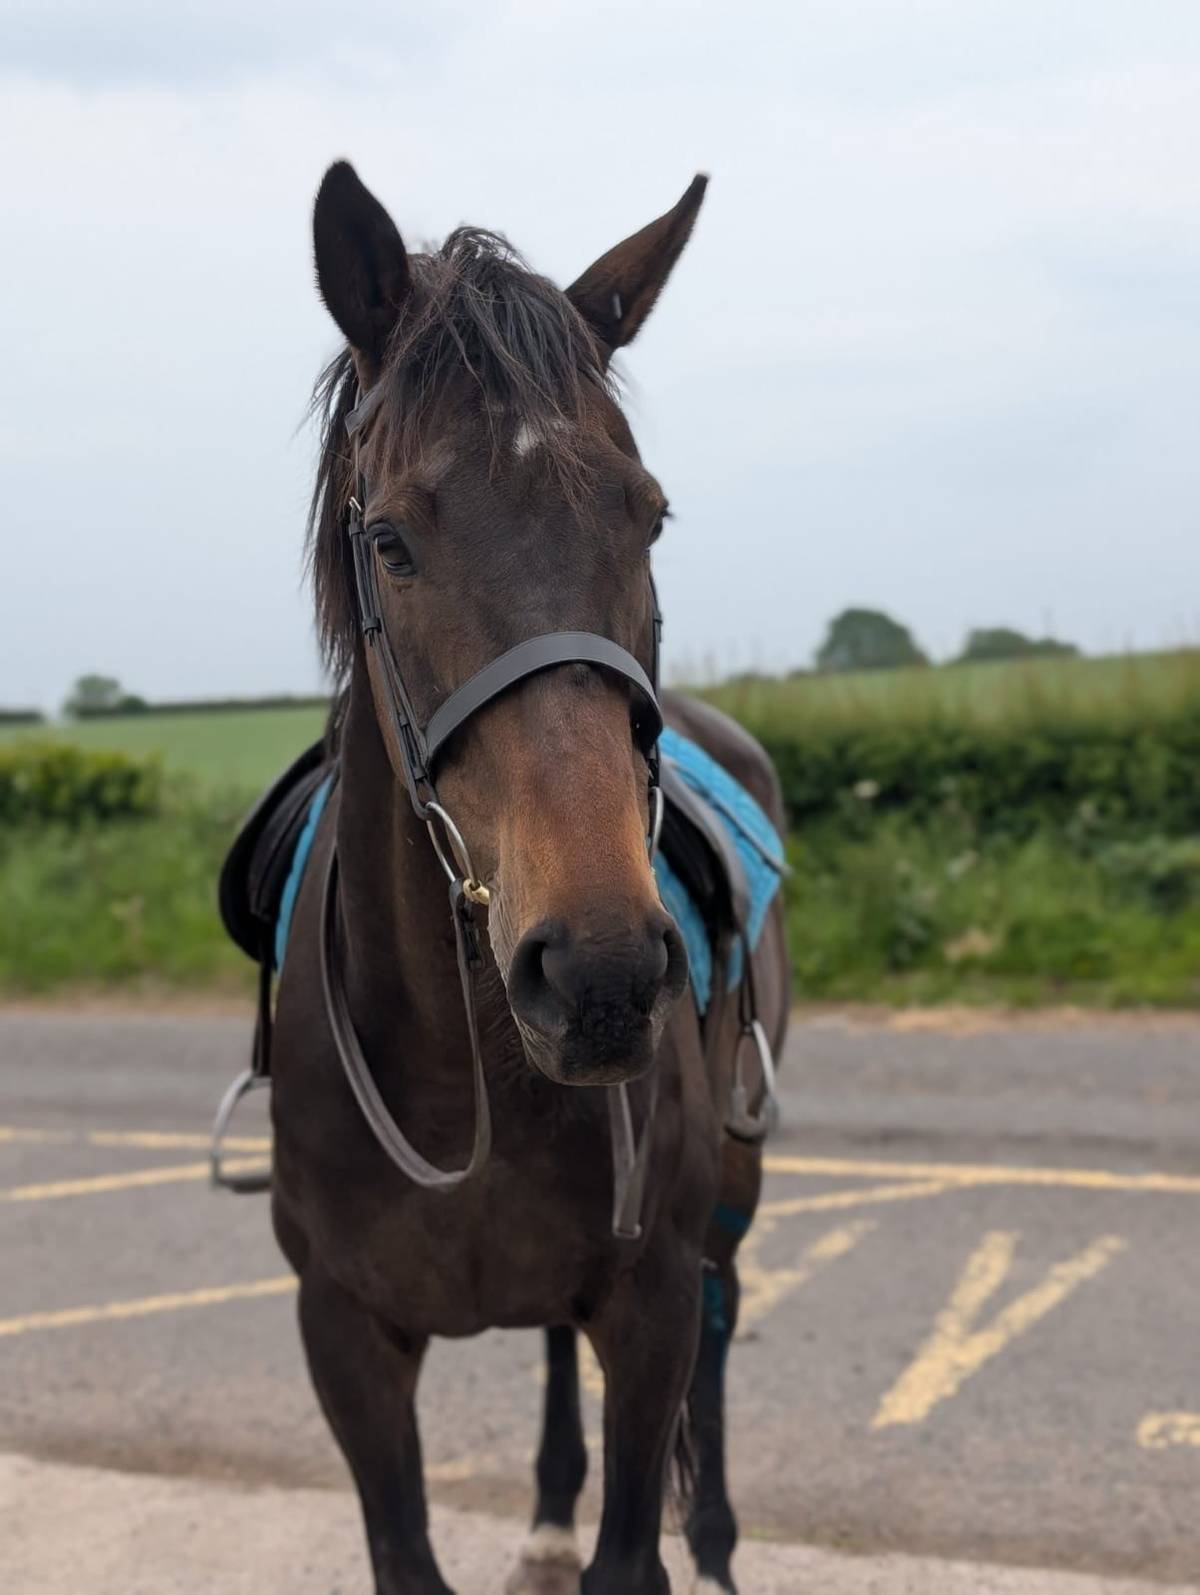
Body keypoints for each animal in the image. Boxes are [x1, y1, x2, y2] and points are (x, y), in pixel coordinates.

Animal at [267, 160, 789, 1595]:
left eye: (648, 515)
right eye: (391, 539)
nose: (600, 967)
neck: (459, 1063)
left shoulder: (651, 1299)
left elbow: (641, 1517)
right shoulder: (341, 1335)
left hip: (729, 1199)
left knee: (722, 1326)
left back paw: (717, 1543)